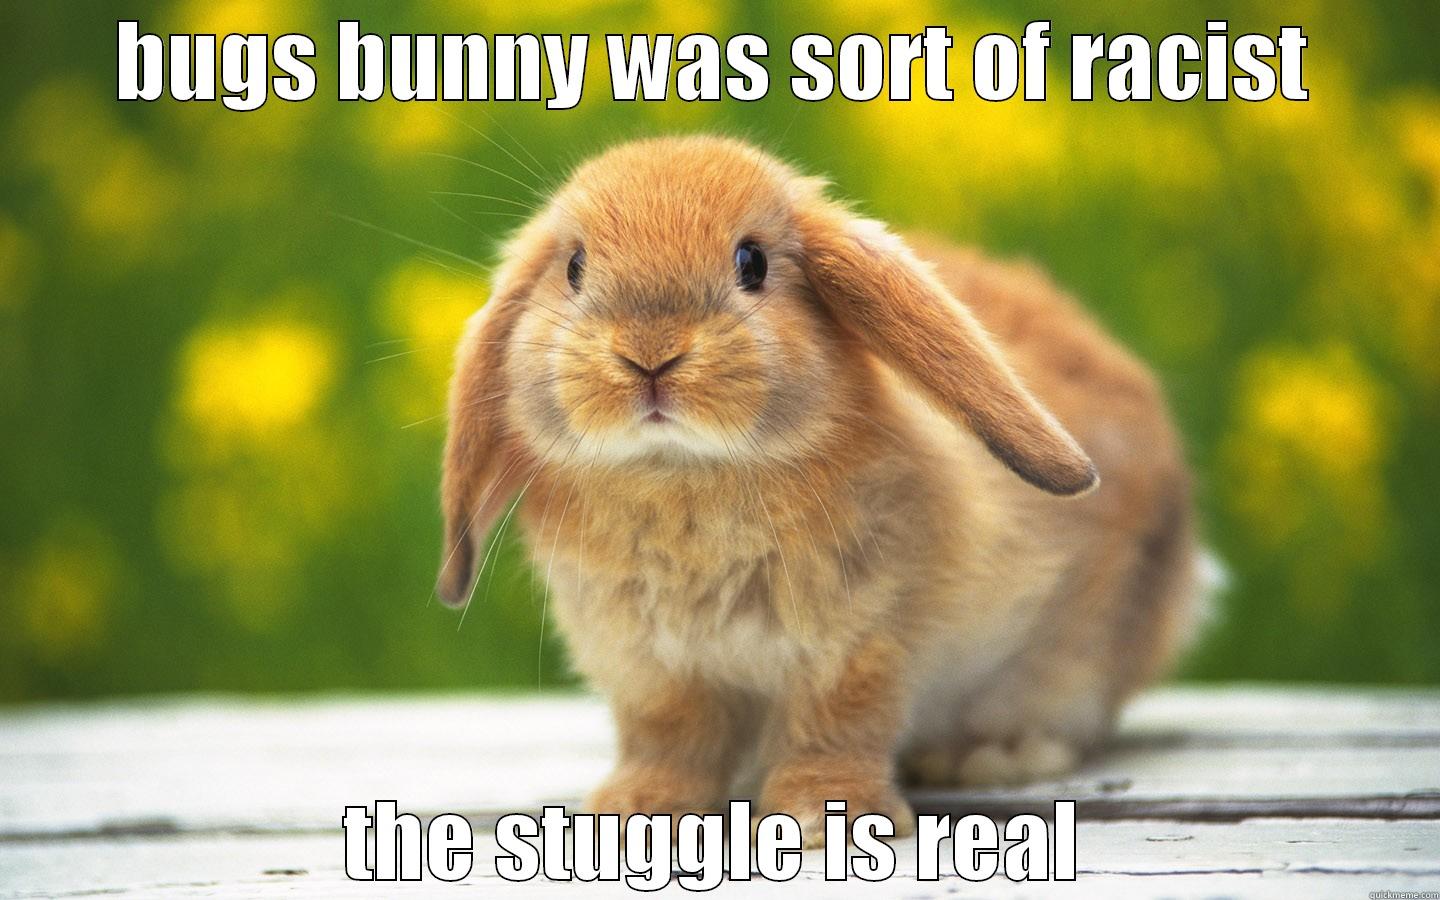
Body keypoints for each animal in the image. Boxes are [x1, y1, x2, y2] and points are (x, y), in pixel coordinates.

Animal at [436, 135, 1204, 844]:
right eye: (574, 267)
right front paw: (635, 812)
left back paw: (991, 755)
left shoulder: (860, 642)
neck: (683, 472)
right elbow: (669, 738)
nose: (649, 353)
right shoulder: (649, 667)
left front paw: (823, 818)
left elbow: (835, 725)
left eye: (752, 263)